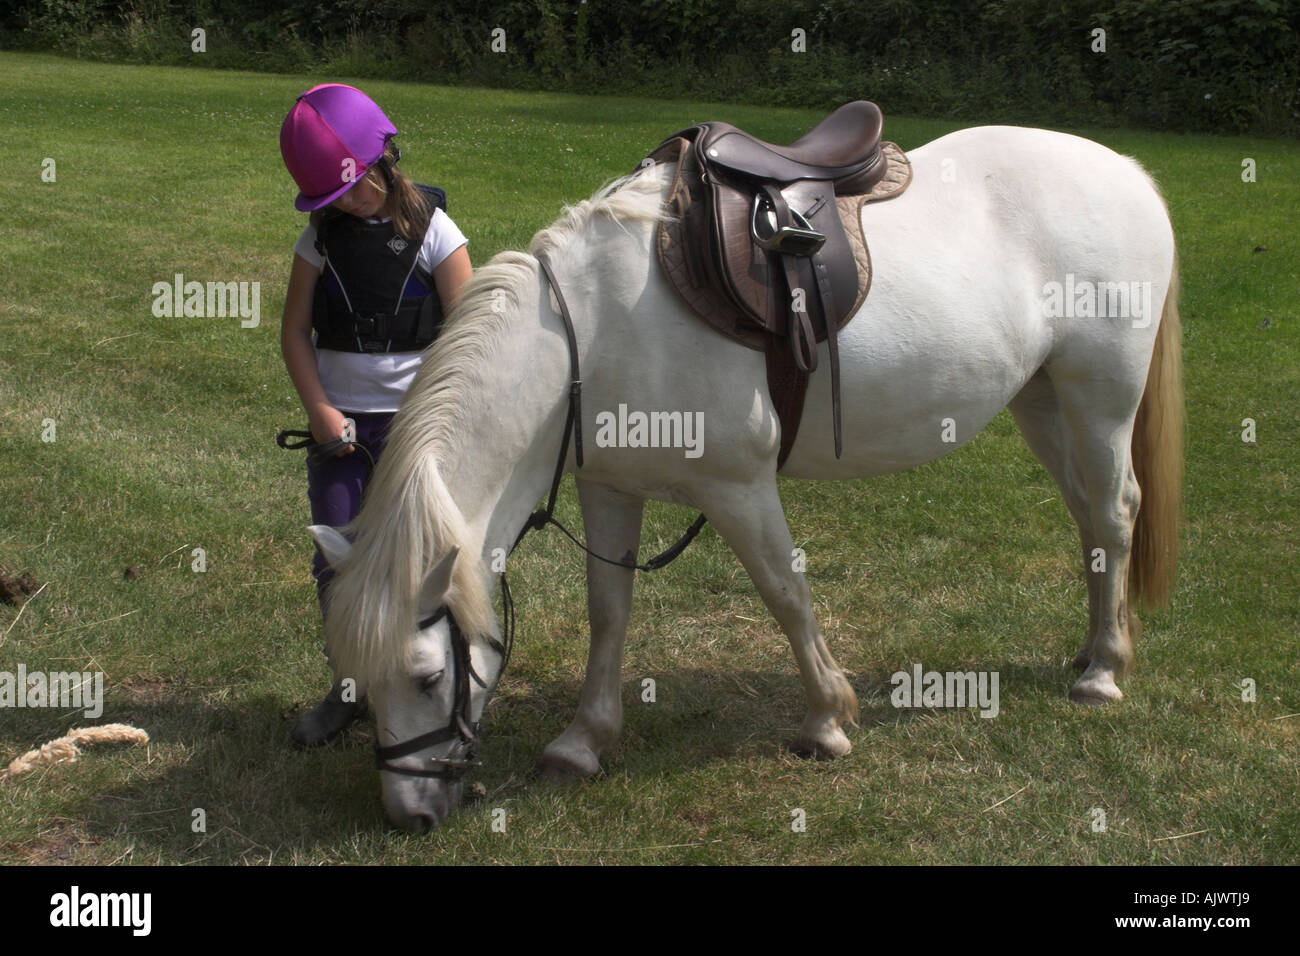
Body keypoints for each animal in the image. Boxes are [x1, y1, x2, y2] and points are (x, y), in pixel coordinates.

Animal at [308, 123, 1183, 831]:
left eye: (427, 676)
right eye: (354, 680)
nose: (410, 816)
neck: (591, 334)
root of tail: (1128, 173)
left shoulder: (737, 486)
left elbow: (785, 594)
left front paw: (827, 720)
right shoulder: (609, 487)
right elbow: (608, 613)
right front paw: (583, 741)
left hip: (1100, 399)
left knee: (1114, 512)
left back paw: (1105, 671)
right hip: (1042, 400)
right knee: (1088, 516)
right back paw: (1090, 647)